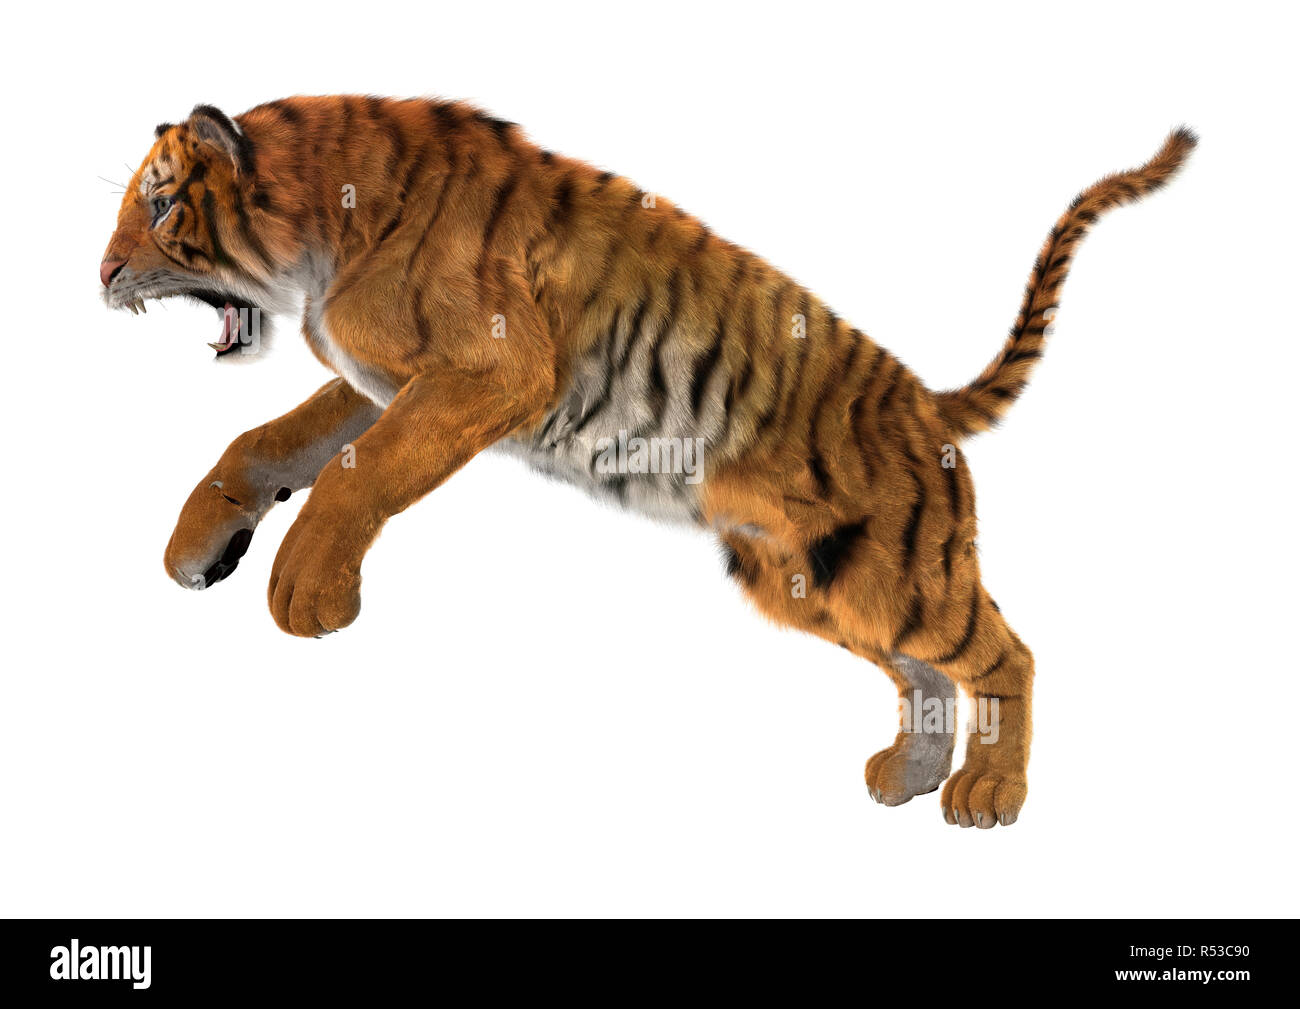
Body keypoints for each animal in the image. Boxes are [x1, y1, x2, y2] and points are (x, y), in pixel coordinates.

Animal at [99, 97, 1195, 828]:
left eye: (159, 207)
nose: (101, 274)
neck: (320, 242)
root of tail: (924, 397)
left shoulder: (488, 368)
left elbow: (356, 470)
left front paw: (305, 593)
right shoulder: (383, 380)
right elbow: (269, 443)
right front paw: (201, 547)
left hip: (897, 571)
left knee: (1006, 651)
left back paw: (986, 792)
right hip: (813, 577)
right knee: (923, 663)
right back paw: (911, 774)